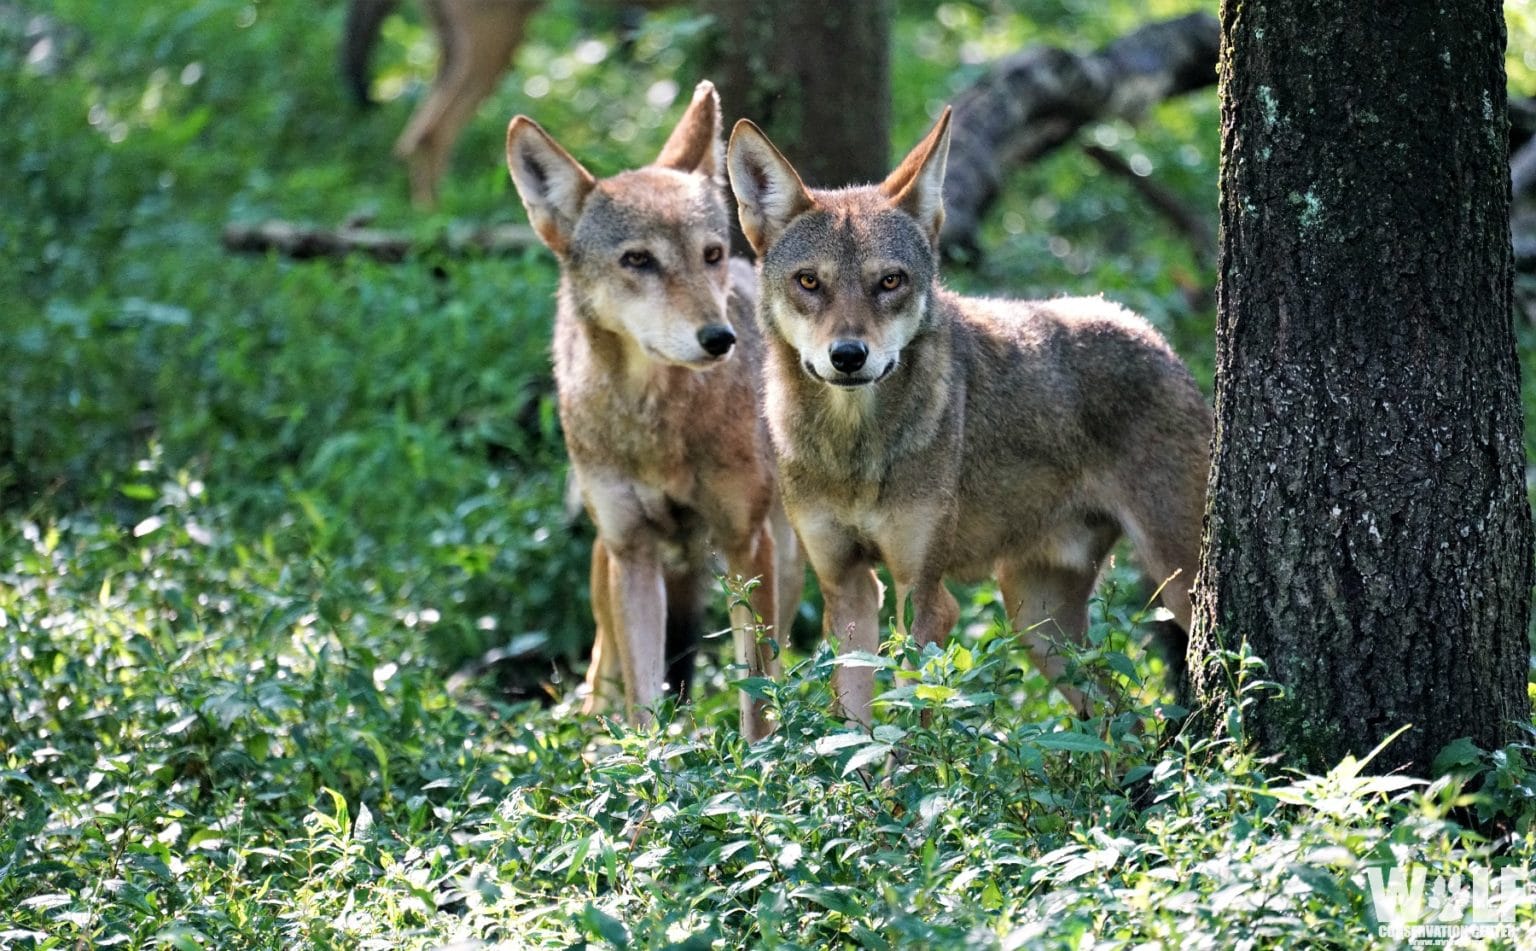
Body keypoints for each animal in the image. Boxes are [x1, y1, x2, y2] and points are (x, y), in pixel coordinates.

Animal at [505, 81, 801, 740]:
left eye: (711, 254)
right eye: (638, 260)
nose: (719, 339)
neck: (657, 424)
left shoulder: (746, 545)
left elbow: (758, 697)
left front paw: (768, 763)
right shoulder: (633, 551)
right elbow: (644, 704)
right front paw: (648, 765)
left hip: (789, 552)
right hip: (609, 562)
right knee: (602, 675)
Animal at [725, 107, 1211, 725]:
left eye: (890, 281)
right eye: (809, 281)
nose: (849, 356)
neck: (856, 449)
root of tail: (1153, 334)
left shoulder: (926, 595)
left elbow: (910, 730)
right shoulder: (848, 588)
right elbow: (855, 729)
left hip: (1178, 589)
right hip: (1040, 627)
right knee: (1124, 722)